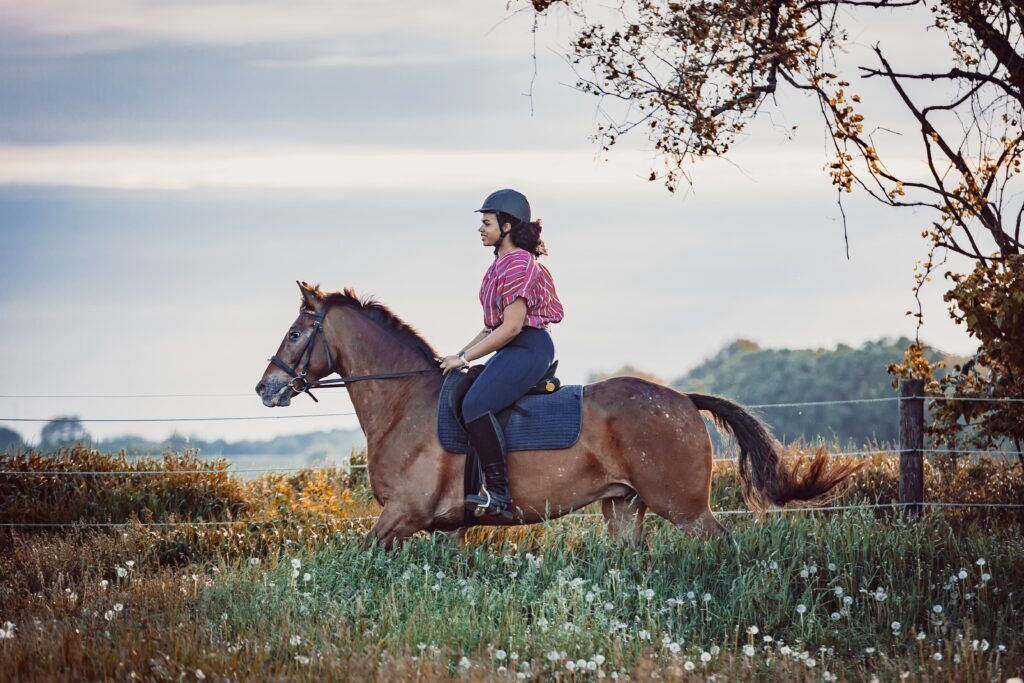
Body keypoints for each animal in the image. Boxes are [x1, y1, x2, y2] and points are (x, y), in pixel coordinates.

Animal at [255, 282, 861, 549]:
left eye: (294, 334)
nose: (266, 387)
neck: (406, 403)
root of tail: (682, 400)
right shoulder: (444, 527)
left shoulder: (402, 514)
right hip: (623, 507)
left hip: (682, 507)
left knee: (720, 543)